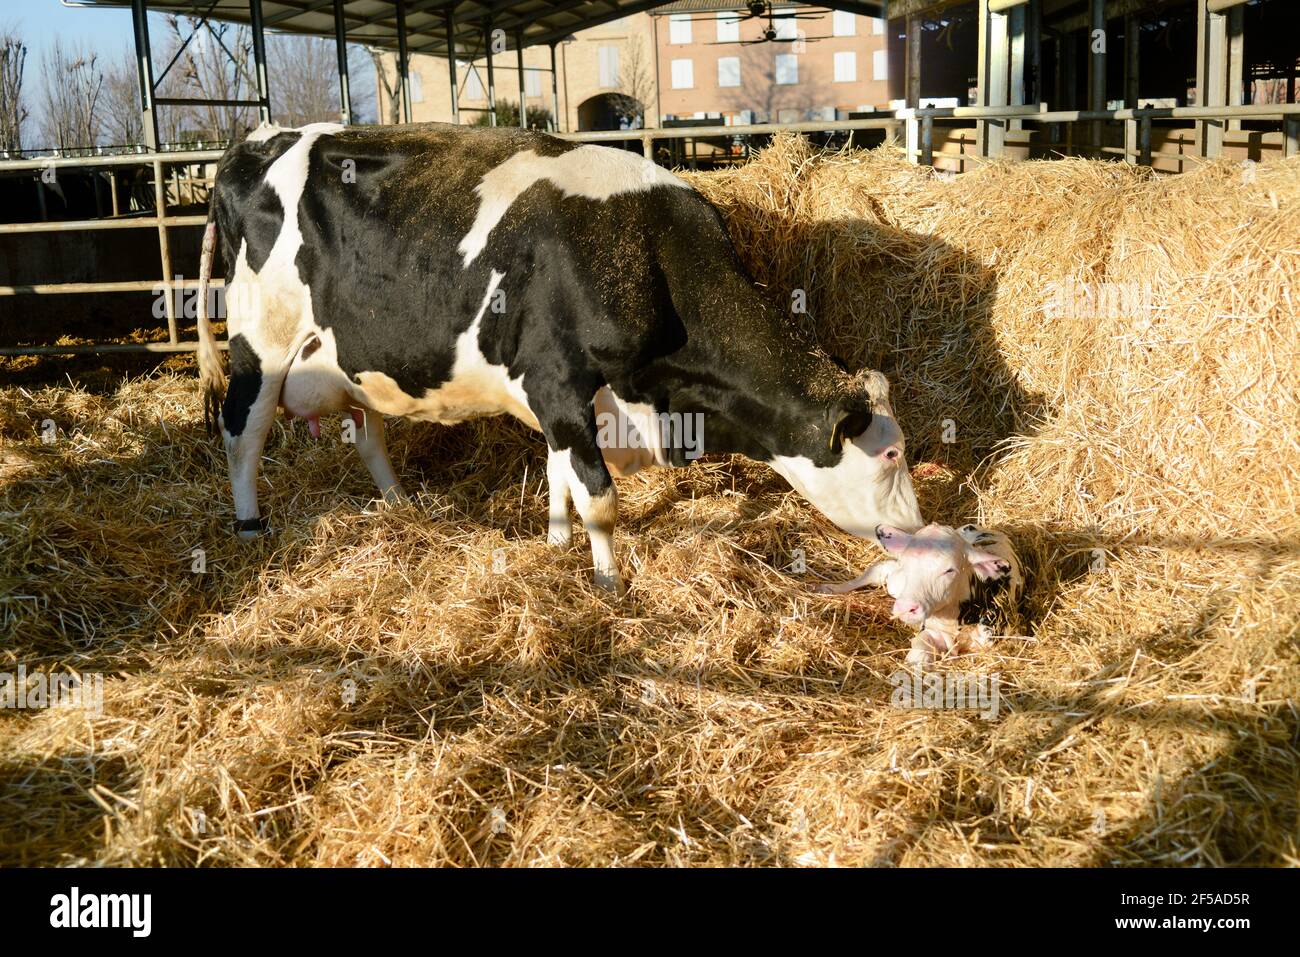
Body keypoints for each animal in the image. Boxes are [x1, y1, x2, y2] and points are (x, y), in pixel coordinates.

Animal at [195, 121, 924, 592]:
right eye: (890, 454)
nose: (919, 530)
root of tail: (254, 141)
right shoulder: (557, 383)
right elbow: (598, 495)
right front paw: (607, 579)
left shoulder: (567, 400)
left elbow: (559, 474)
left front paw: (555, 542)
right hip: (263, 343)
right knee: (242, 432)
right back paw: (250, 525)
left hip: (348, 357)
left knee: (367, 432)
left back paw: (401, 505)